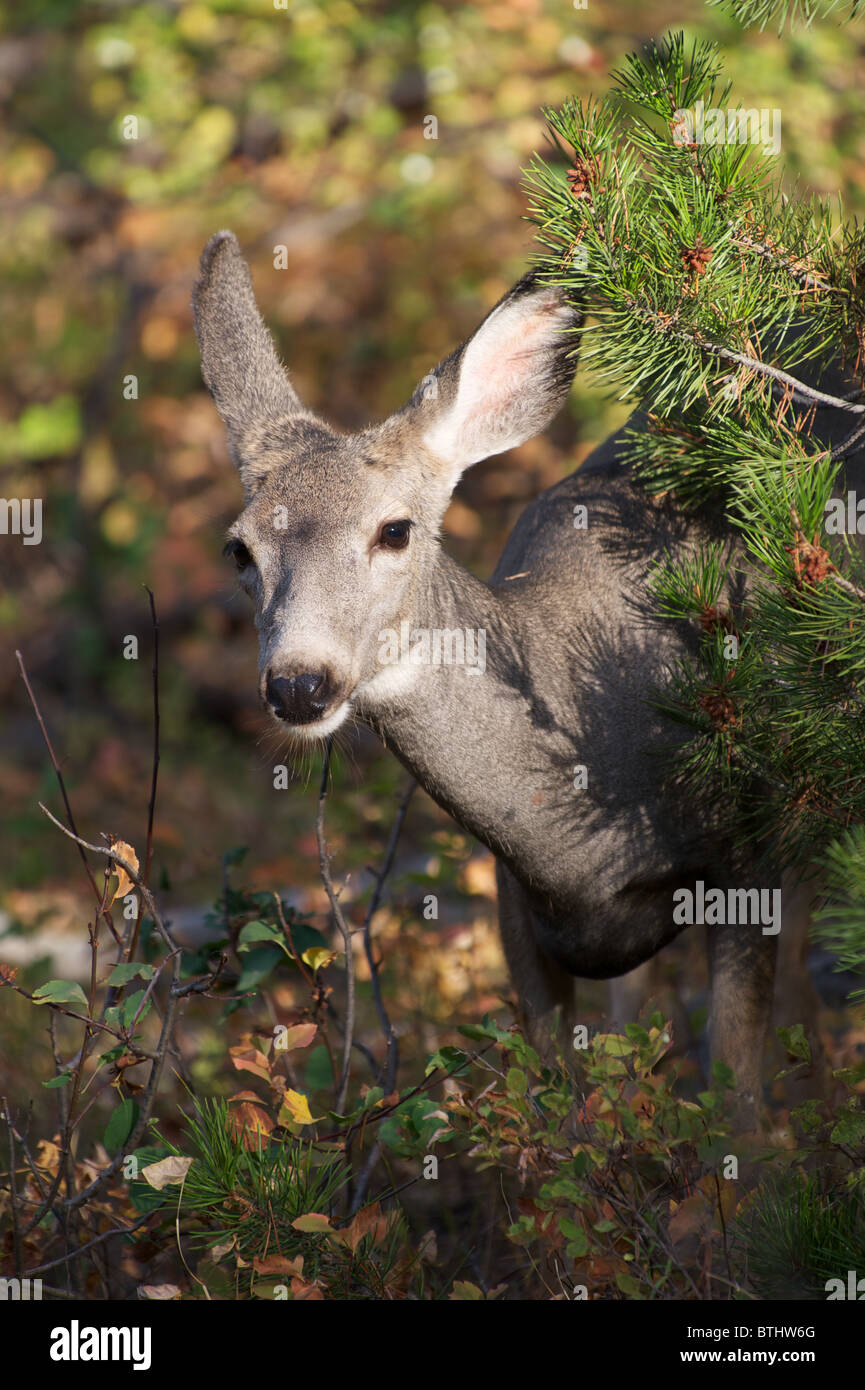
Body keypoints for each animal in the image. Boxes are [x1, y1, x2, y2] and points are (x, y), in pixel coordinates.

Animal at [192, 229, 843, 1130]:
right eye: (239, 549)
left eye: (394, 530)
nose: (298, 684)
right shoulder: (516, 902)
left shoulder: (748, 856)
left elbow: (736, 1094)